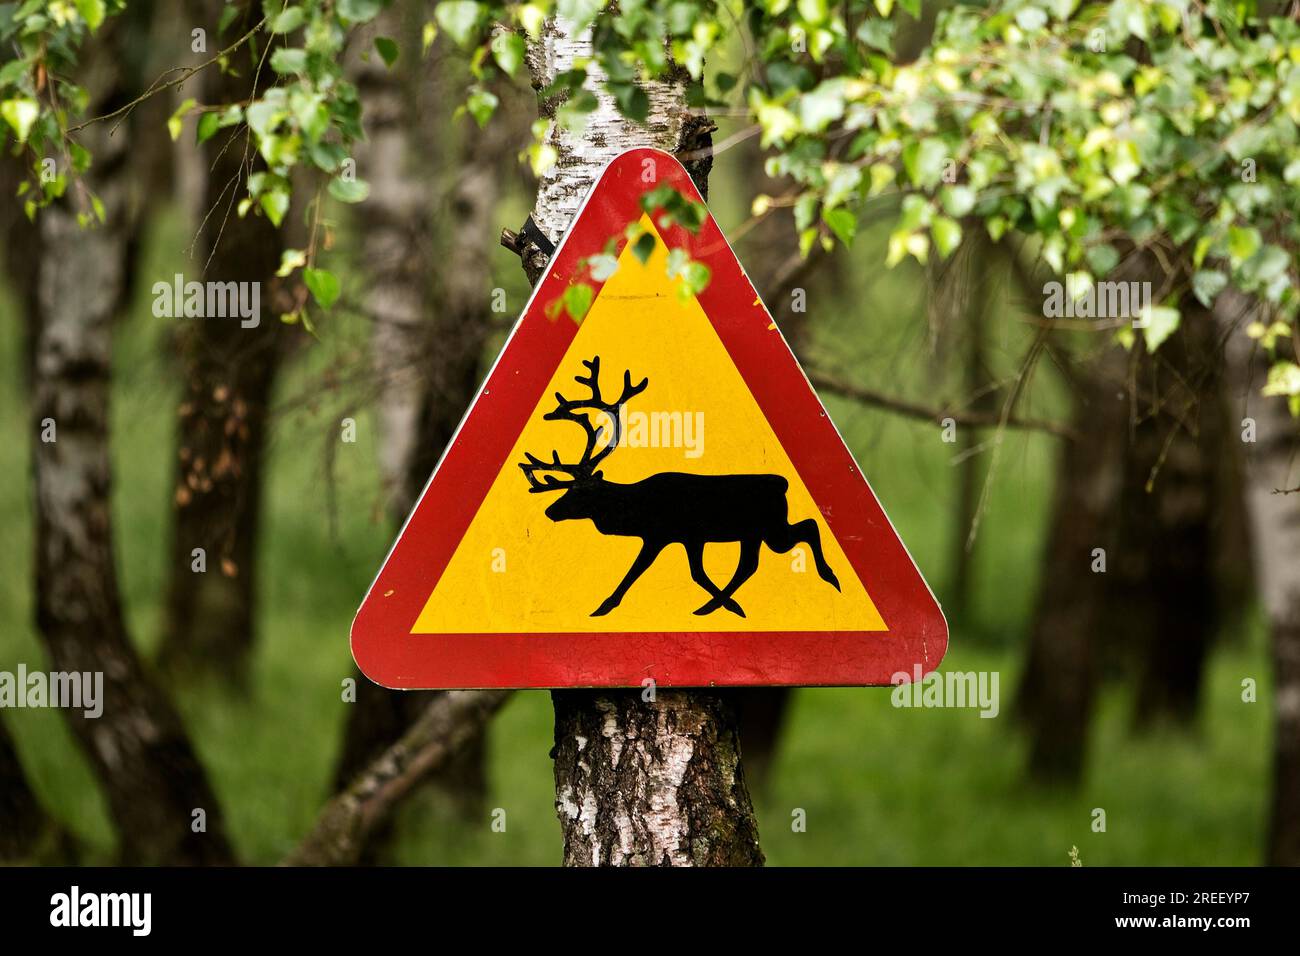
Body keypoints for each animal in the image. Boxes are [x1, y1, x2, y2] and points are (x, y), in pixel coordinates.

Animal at [519, 356, 841, 618]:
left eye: (580, 490)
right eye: (567, 488)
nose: (550, 511)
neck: (635, 509)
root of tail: (782, 483)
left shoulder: (665, 534)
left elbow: (646, 571)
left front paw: (603, 607)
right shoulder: (686, 538)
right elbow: (695, 573)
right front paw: (727, 605)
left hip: (771, 528)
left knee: (808, 526)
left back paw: (830, 577)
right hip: (755, 533)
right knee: (750, 564)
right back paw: (713, 606)